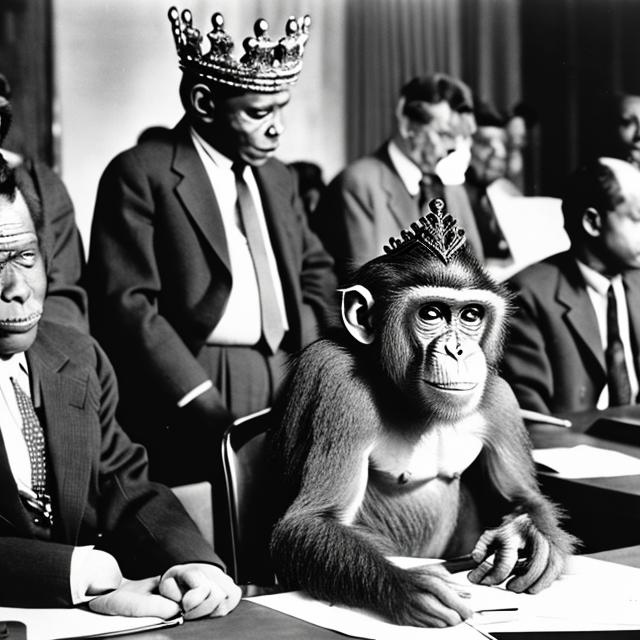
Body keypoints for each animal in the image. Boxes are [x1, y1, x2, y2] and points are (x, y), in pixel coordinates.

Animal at [268, 199, 577, 628]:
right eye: (431, 314)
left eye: (470, 315)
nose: (458, 349)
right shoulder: (336, 385)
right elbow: (313, 519)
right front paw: (411, 586)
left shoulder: (500, 400)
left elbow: (520, 494)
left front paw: (526, 540)